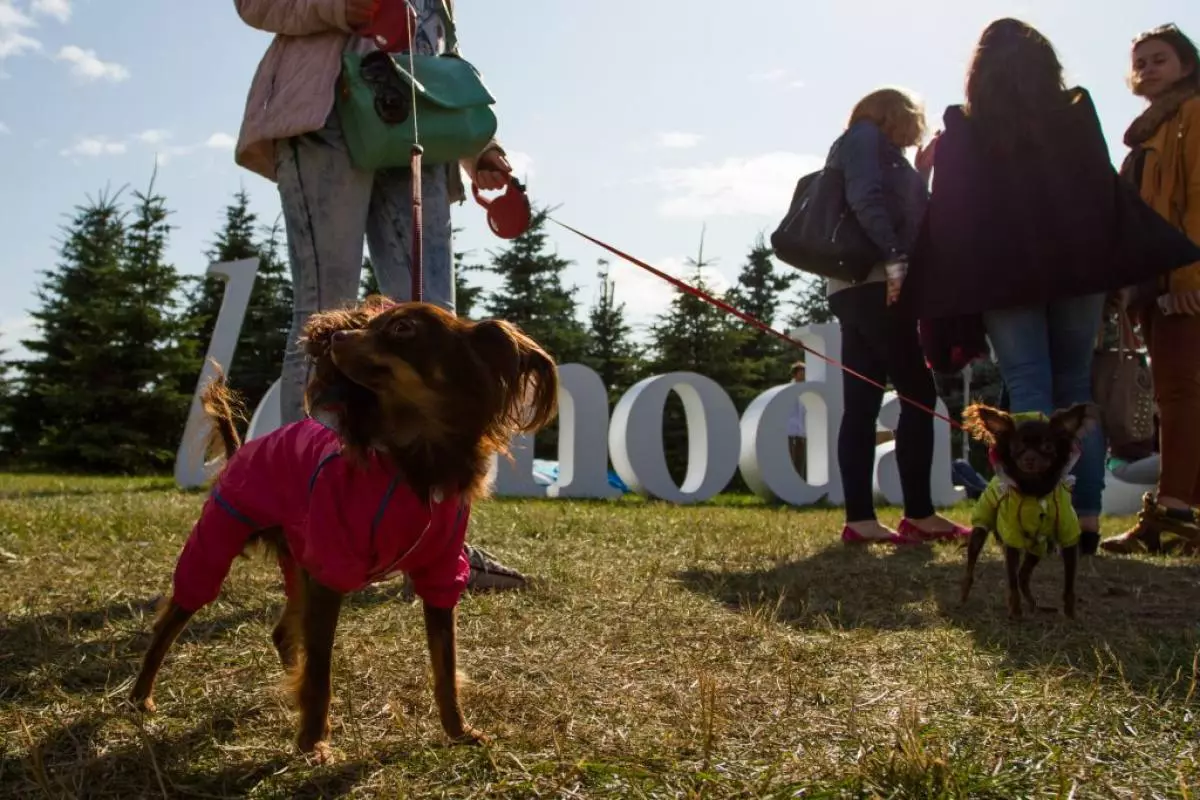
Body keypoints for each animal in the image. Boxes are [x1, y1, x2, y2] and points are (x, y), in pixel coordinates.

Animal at [129, 298, 559, 762]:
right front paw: (313, 741)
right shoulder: (330, 570)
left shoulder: (440, 575)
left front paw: (459, 732)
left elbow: (444, 666)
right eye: (368, 323)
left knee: (284, 633)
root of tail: (243, 449)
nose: (335, 335)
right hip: (219, 539)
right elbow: (321, 671)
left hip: (298, 565)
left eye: (402, 328)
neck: (414, 457)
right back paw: (141, 696)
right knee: (172, 621)